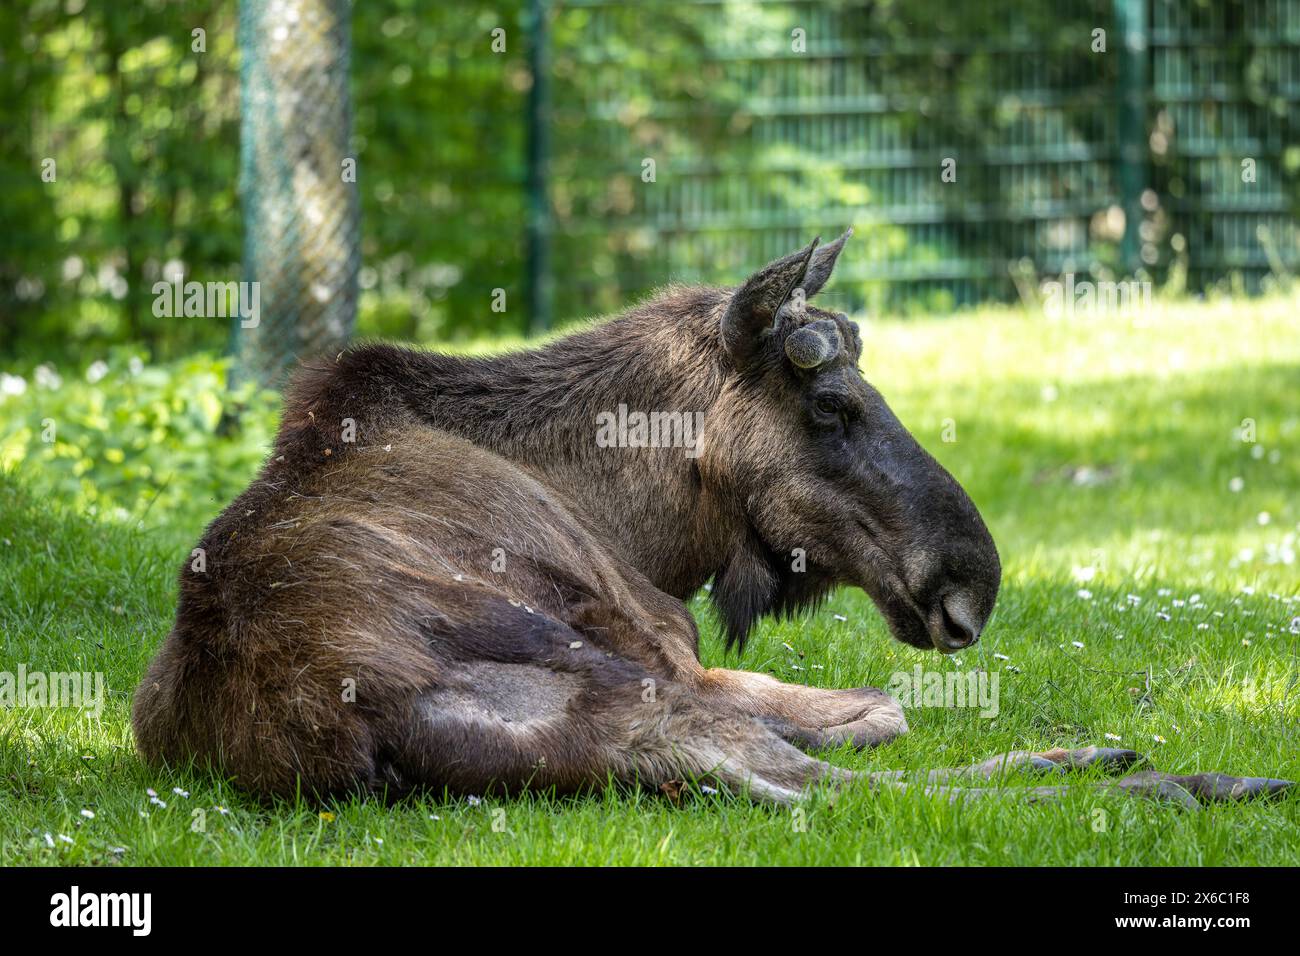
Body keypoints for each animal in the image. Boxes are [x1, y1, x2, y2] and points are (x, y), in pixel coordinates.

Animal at [133, 231, 1291, 808]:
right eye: (832, 406)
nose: (972, 578)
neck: (642, 519)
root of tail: (354, 723)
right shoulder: (675, 640)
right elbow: (885, 710)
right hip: (637, 686)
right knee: (842, 787)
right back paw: (1179, 779)